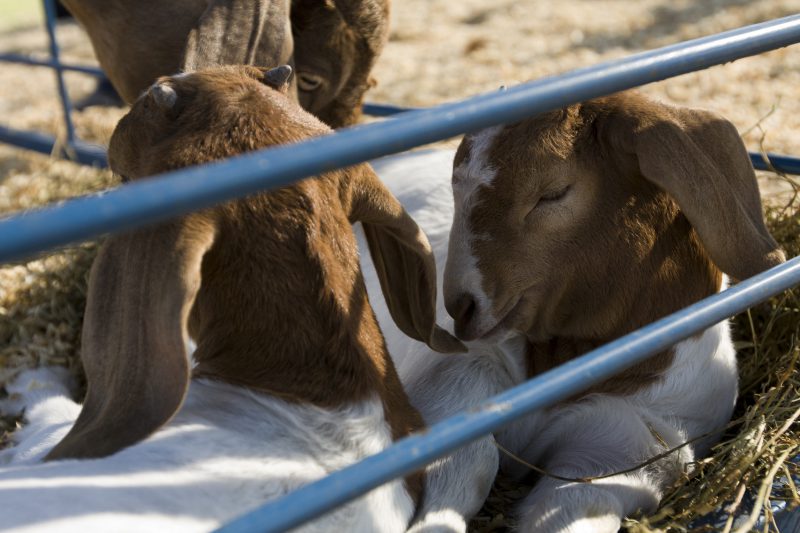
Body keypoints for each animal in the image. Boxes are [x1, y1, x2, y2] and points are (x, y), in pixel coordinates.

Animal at [360, 92, 785, 532]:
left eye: (554, 192)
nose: (460, 306)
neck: (566, 361)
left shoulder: (632, 447)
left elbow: (581, 506)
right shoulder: (460, 378)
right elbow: (469, 459)